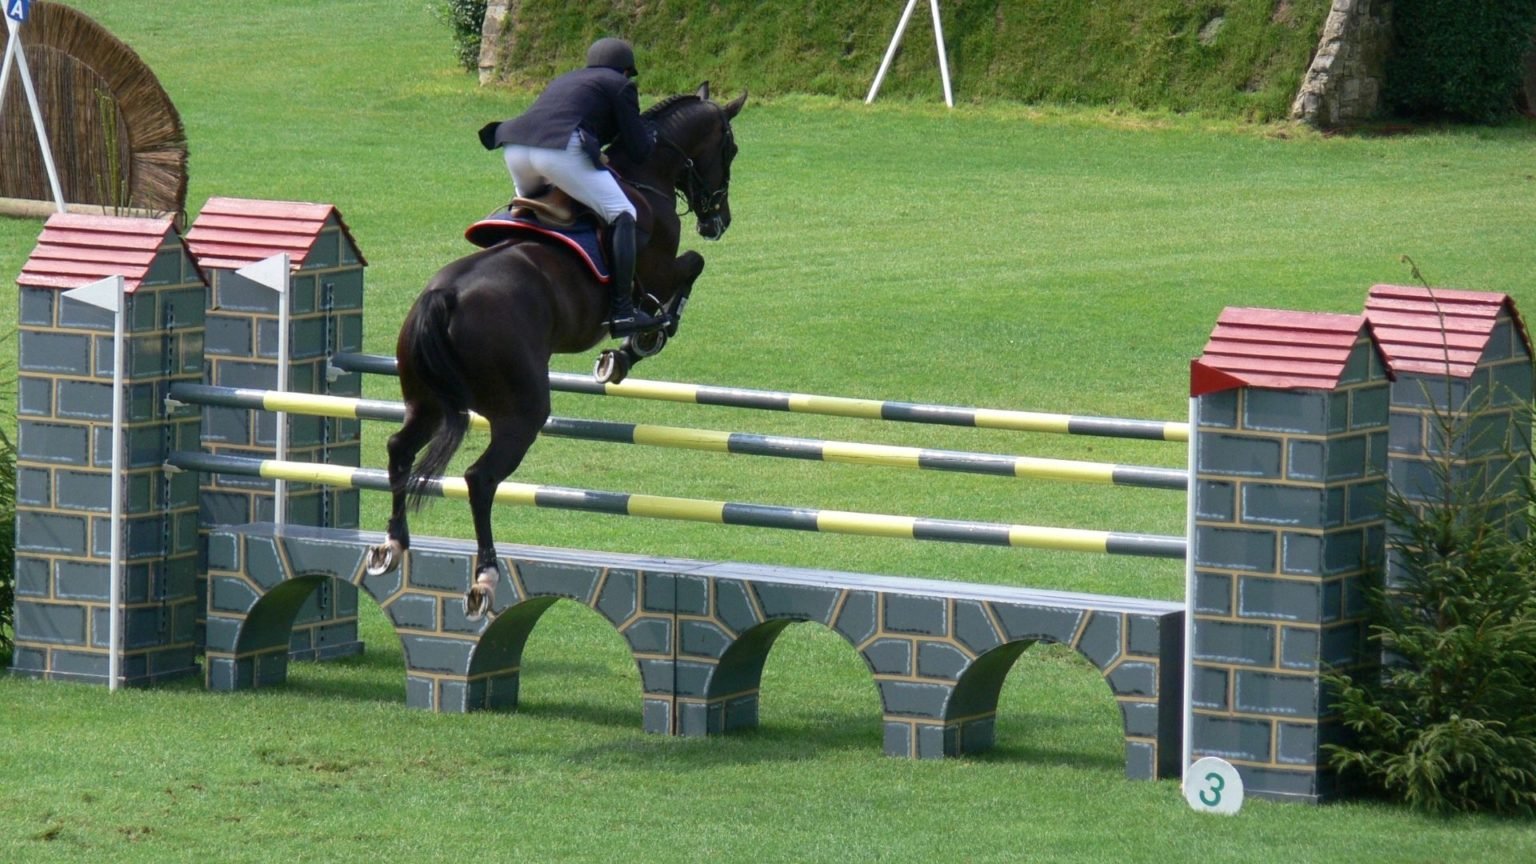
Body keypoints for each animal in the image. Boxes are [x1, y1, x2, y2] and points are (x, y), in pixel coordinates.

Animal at [365, 83, 747, 619]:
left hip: (427, 401)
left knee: (399, 450)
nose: (719, 220)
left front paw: (631, 346)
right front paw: (637, 342)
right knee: (480, 478)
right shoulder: (657, 268)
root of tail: (444, 296)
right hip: (522, 410)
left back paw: (393, 545)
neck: (644, 175)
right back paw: (484, 578)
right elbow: (691, 268)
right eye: (729, 149)